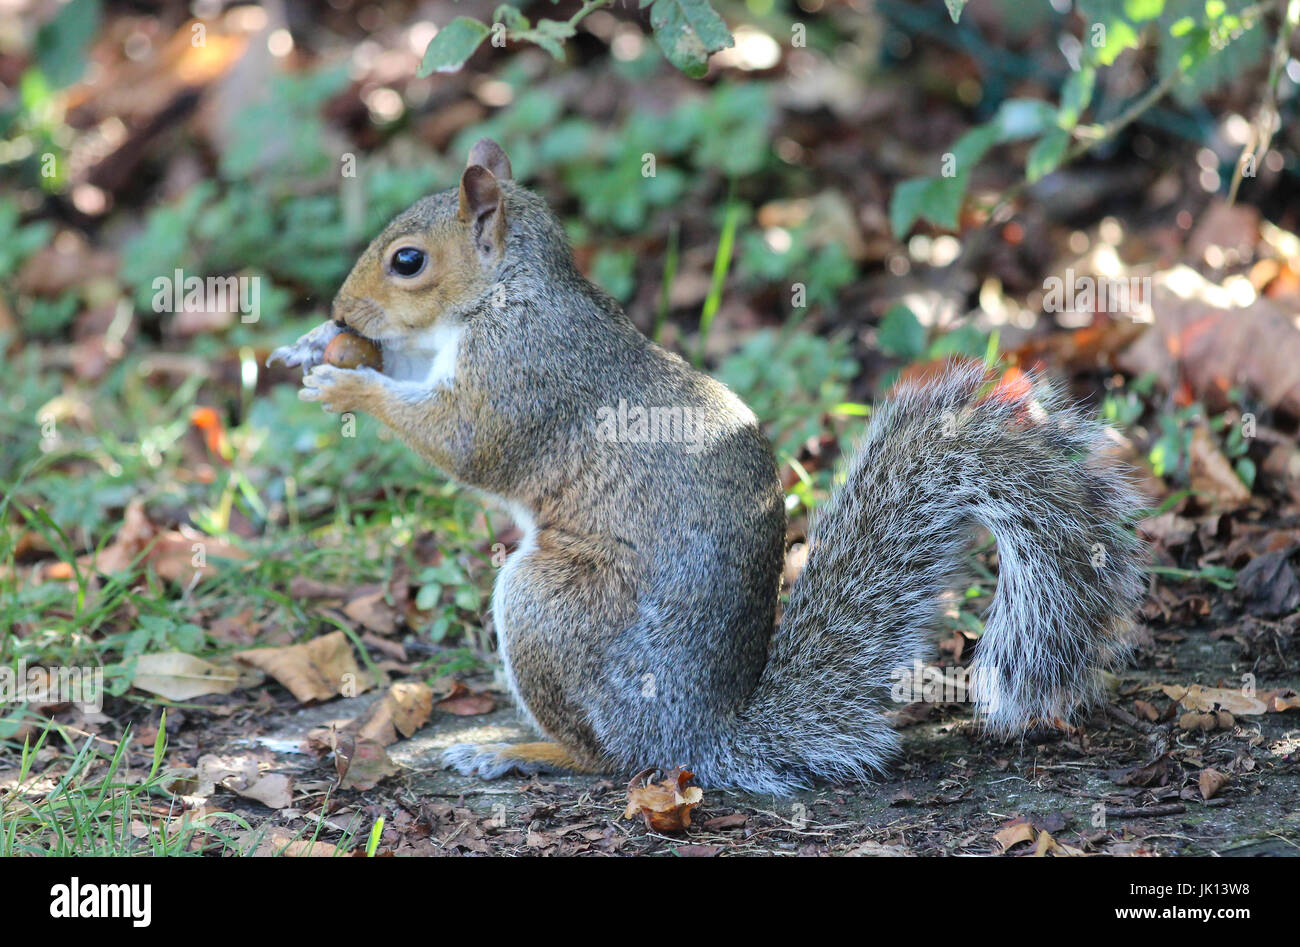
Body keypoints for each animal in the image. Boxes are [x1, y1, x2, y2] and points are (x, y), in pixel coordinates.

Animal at [269, 138, 1146, 795]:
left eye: (408, 260)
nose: (342, 310)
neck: (502, 296)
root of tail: (701, 730)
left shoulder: (526, 375)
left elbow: (462, 440)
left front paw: (349, 383)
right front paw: (313, 345)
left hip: (550, 605)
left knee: (610, 757)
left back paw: (518, 748)